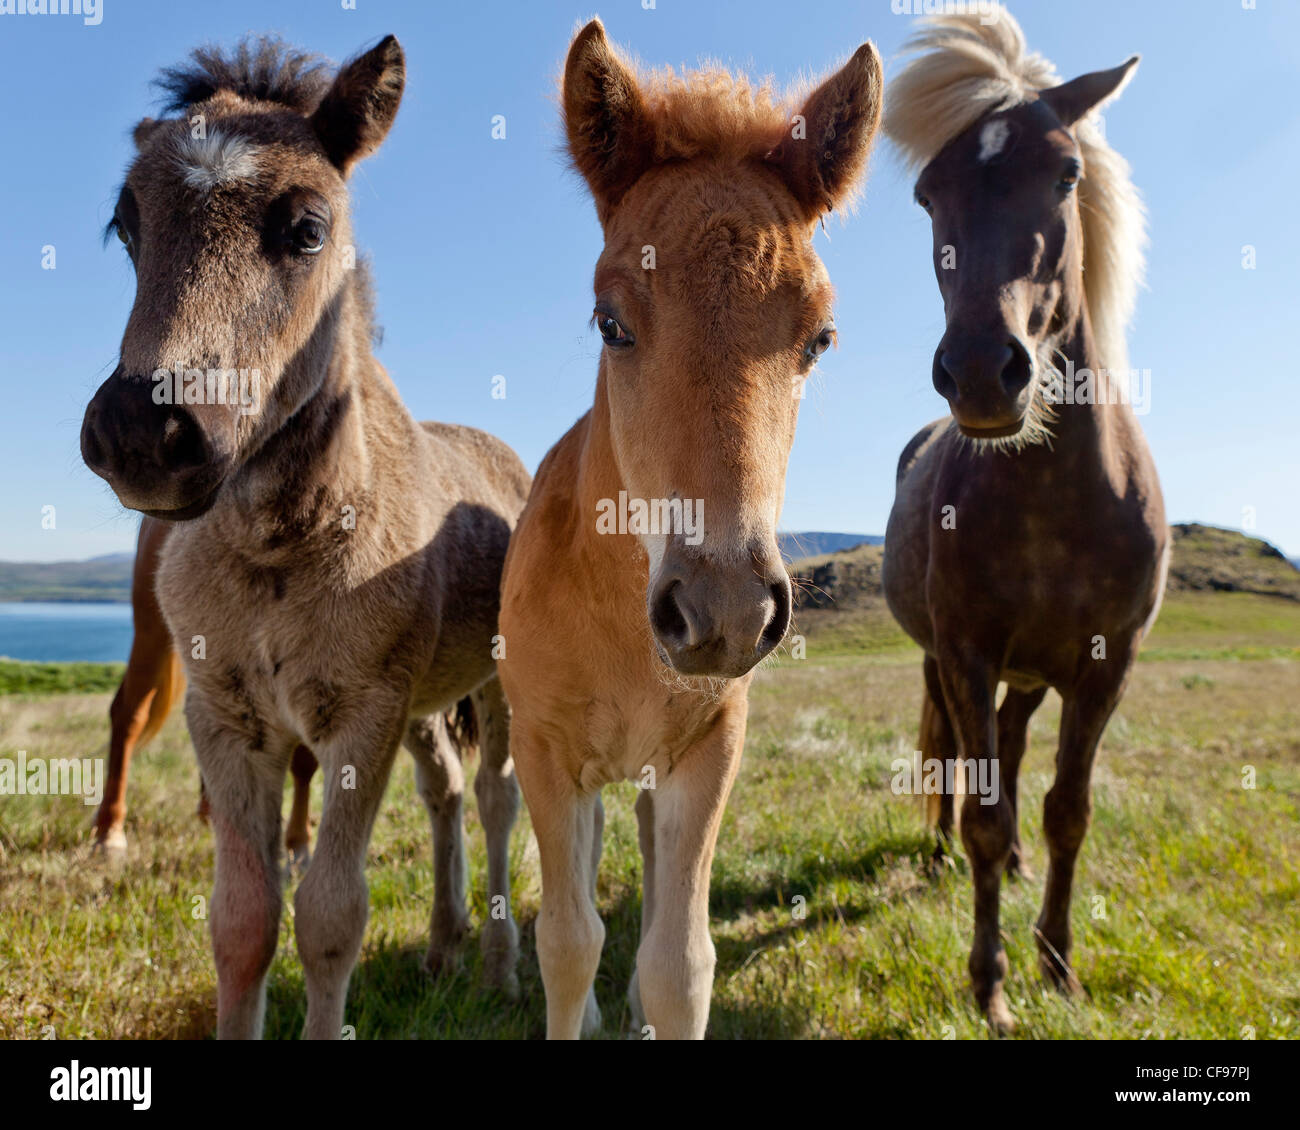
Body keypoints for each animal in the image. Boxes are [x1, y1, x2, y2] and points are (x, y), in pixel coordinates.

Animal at [80, 36, 531, 1038]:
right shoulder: (227, 718)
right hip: (419, 705)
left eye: (308, 228)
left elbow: (330, 917)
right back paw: (442, 950)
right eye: (127, 228)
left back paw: (497, 967)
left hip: (497, 683)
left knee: (495, 796)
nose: (141, 432)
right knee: (446, 790)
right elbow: (243, 921)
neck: (276, 554)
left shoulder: (361, 716)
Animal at [497, 19, 883, 1039]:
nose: (725, 613)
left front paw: (649, 995)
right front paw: (582, 999)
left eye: (820, 339)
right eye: (609, 322)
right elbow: (566, 940)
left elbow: (682, 963)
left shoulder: (710, 749)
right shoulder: (541, 749)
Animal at [881, 11, 1167, 1034]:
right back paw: (941, 857)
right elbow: (981, 805)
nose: (979, 372)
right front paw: (989, 984)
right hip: (946, 662)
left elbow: (1064, 811)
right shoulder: (965, 650)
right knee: (957, 759)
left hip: (1035, 674)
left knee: (1005, 744)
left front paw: (1057, 965)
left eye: (1067, 174)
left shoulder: (1105, 666)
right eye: (928, 194)